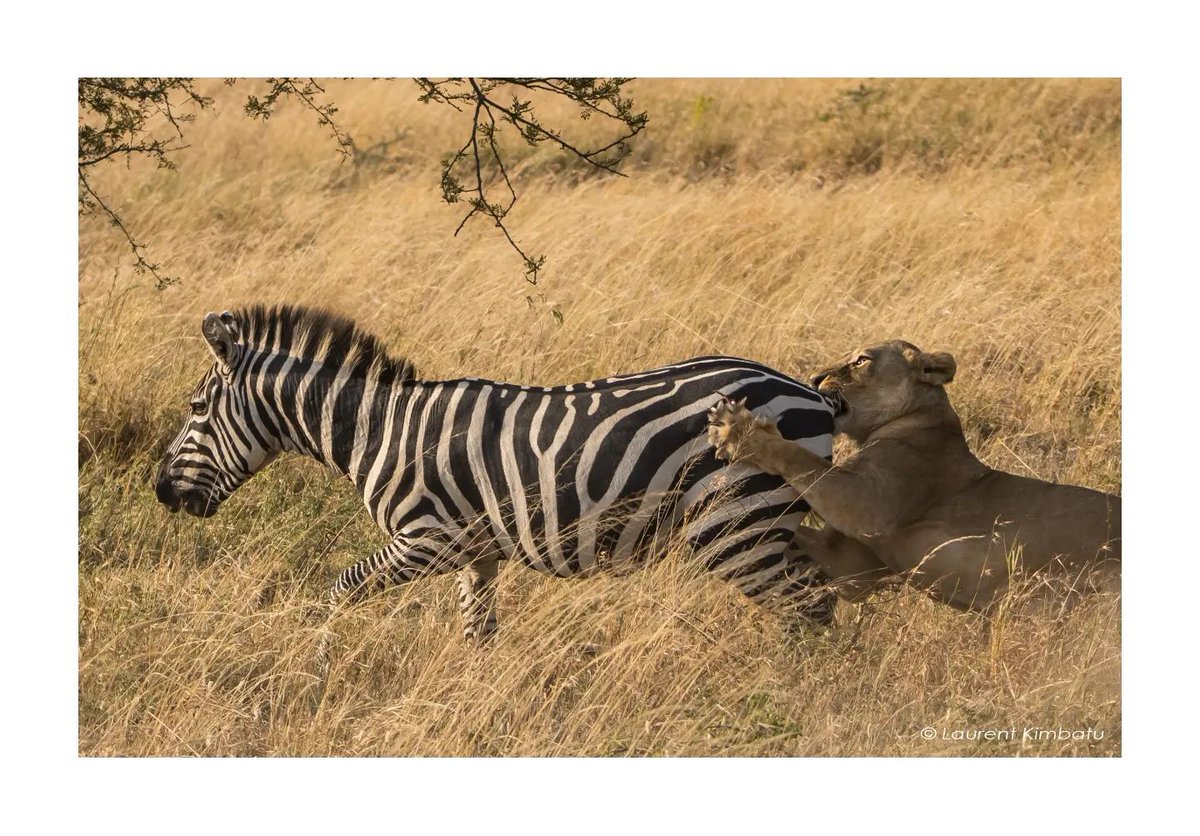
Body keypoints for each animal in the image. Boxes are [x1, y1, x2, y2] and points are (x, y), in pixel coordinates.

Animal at [155, 305, 843, 641]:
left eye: (196, 409)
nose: (160, 492)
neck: (380, 431)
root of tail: (810, 392)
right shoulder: (477, 552)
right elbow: (477, 633)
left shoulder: (428, 539)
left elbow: (341, 589)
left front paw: (316, 657)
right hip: (767, 525)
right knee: (821, 598)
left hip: (736, 525)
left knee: (810, 608)